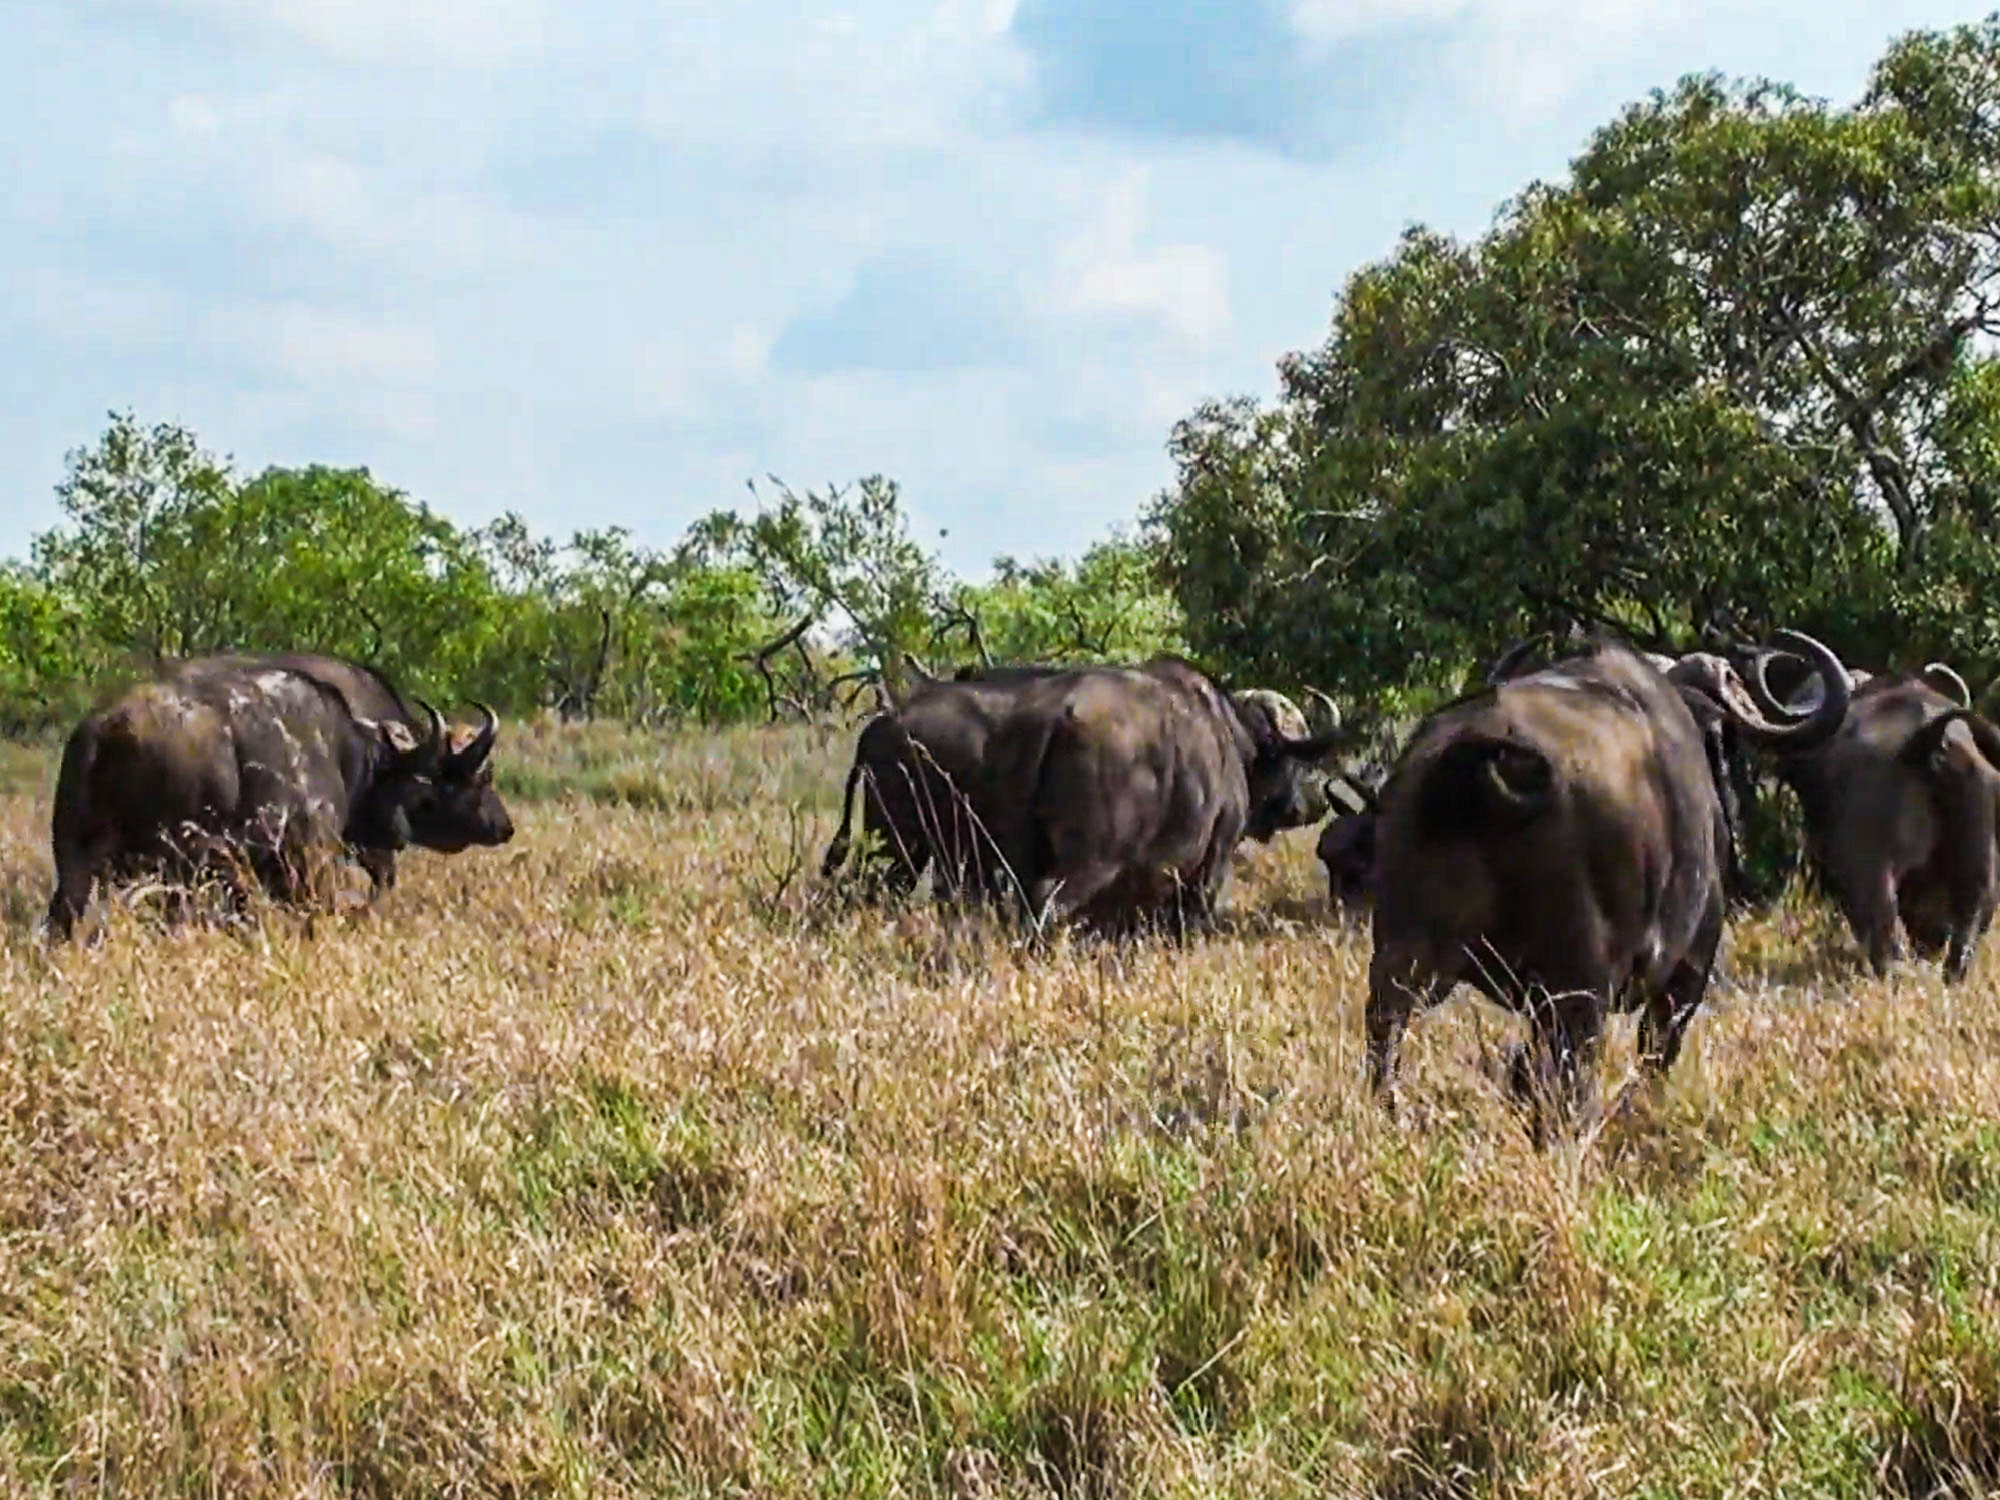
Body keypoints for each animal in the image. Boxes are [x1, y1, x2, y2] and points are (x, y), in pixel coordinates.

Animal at [45, 664, 450, 940]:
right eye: (415, 786)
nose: (400, 834)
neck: (340, 750)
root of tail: (105, 729)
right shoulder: (308, 861)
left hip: (76, 863)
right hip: (179, 866)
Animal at [1363, 632, 1849, 1137]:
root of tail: (1478, 759)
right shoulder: (1688, 965)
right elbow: (1656, 1048)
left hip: (1403, 951)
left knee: (1388, 1029)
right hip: (1579, 979)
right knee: (1573, 1067)